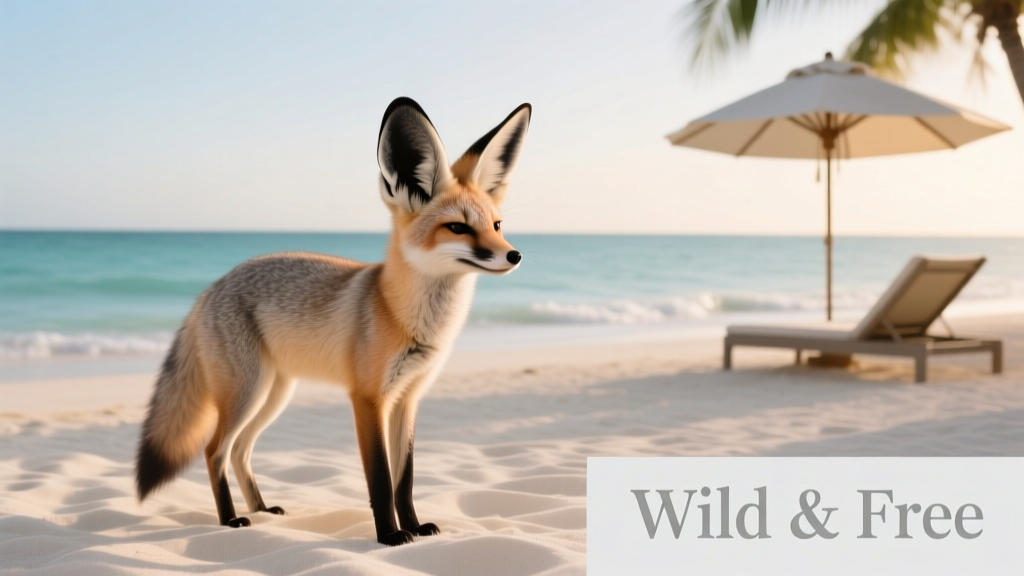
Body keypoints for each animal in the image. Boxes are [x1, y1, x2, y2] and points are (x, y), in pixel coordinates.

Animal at [135, 97, 531, 546]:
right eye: (458, 228)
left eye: (496, 225)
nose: (514, 254)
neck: (403, 316)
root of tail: (211, 288)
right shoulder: (368, 398)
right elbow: (380, 480)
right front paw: (390, 536)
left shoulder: (408, 398)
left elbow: (405, 480)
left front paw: (415, 527)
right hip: (247, 393)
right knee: (214, 450)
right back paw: (230, 519)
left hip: (273, 394)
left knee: (239, 451)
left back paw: (260, 509)